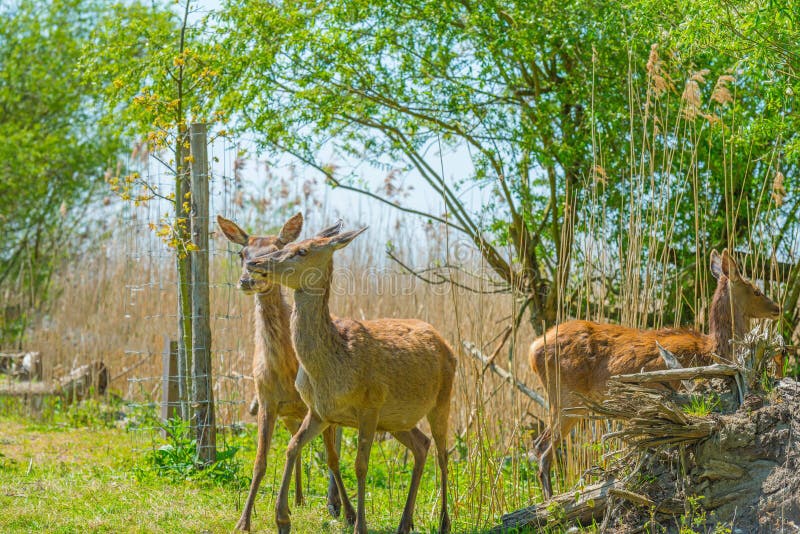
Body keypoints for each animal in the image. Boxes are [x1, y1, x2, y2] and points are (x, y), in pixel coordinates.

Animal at [217, 214, 354, 532]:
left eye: (276, 249)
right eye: (242, 253)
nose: (247, 279)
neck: (286, 367)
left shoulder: (318, 406)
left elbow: (332, 458)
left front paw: (346, 511)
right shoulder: (267, 401)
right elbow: (261, 461)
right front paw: (244, 520)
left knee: (332, 448)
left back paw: (331, 502)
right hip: (289, 415)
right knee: (298, 447)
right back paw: (299, 499)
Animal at [245, 226, 456, 534]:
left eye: (302, 250)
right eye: (291, 244)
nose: (255, 263)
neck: (330, 370)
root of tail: (448, 345)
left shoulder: (370, 405)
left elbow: (360, 465)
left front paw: (359, 524)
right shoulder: (320, 411)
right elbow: (292, 446)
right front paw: (282, 518)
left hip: (443, 399)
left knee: (442, 454)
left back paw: (443, 522)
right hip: (397, 419)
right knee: (421, 444)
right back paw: (405, 522)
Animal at [529, 248, 781, 500]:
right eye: (757, 291)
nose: (777, 308)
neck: (711, 351)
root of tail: (533, 350)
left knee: (539, 445)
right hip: (566, 395)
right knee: (543, 450)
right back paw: (550, 503)